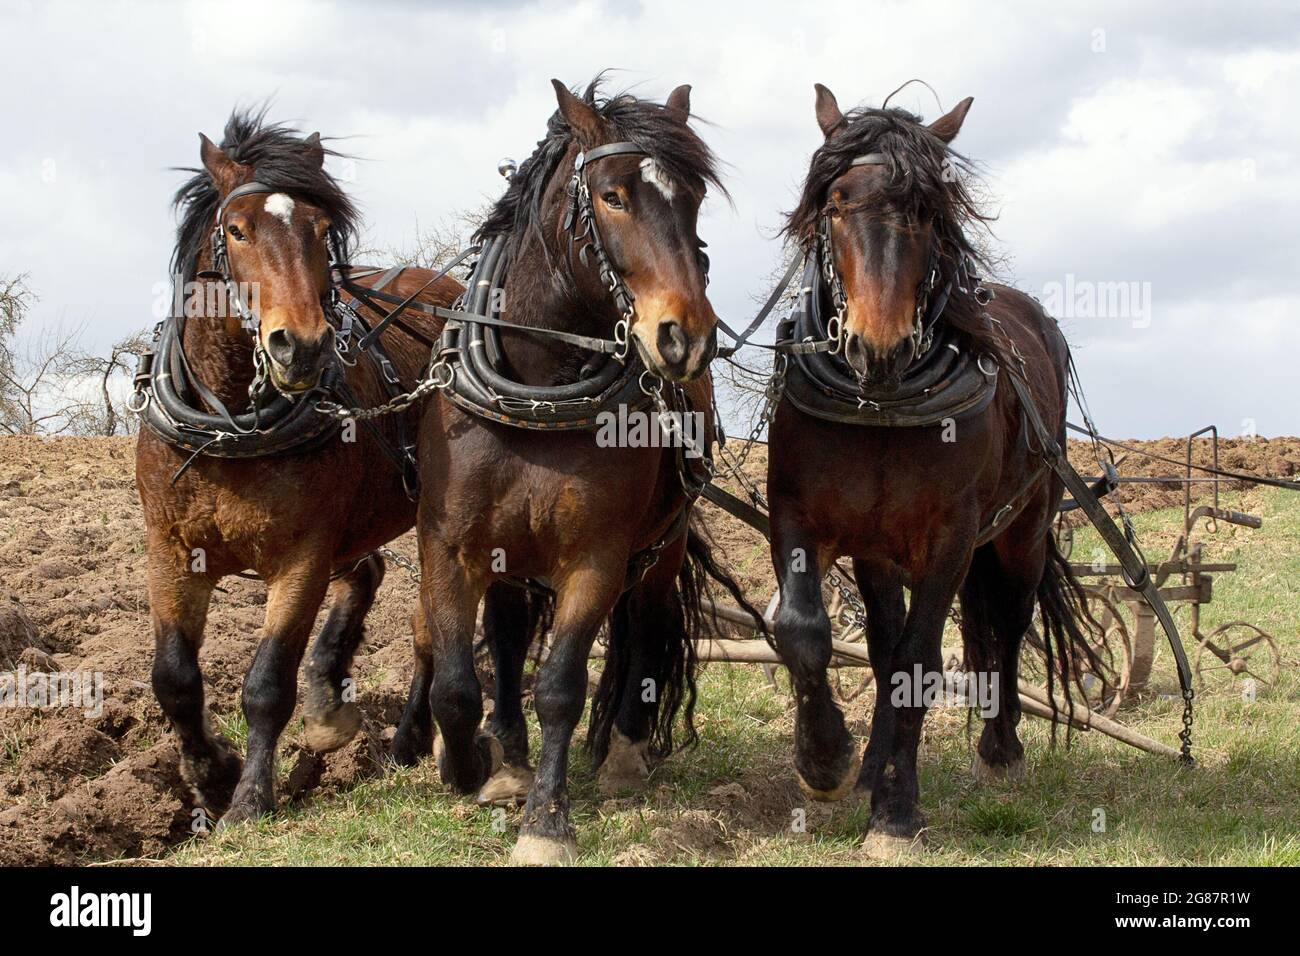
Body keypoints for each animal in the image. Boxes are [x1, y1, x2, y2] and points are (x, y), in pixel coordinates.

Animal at [135, 109, 463, 825]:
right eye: (236, 230)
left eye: (317, 230)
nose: (303, 346)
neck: (229, 425)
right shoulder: (170, 549)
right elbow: (173, 678)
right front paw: (210, 779)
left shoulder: (302, 556)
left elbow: (265, 682)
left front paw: (250, 798)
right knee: (368, 576)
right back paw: (330, 700)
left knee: (428, 624)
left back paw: (408, 737)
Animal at [395, 77, 754, 865]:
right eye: (614, 195)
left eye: (693, 199)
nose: (686, 336)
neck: (536, 391)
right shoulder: (448, 545)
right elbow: (456, 684)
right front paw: (470, 764)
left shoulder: (596, 554)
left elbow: (562, 684)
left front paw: (546, 822)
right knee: (503, 635)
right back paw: (507, 754)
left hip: (660, 547)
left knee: (647, 624)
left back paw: (623, 753)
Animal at [765, 85, 1102, 856]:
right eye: (835, 204)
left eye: (926, 210)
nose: (878, 348)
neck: (882, 406)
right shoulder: (797, 514)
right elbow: (807, 631)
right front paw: (827, 760)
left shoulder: (950, 539)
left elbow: (921, 658)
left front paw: (896, 810)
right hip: (880, 552)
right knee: (884, 643)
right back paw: (869, 765)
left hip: (1021, 533)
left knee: (1007, 623)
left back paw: (999, 750)